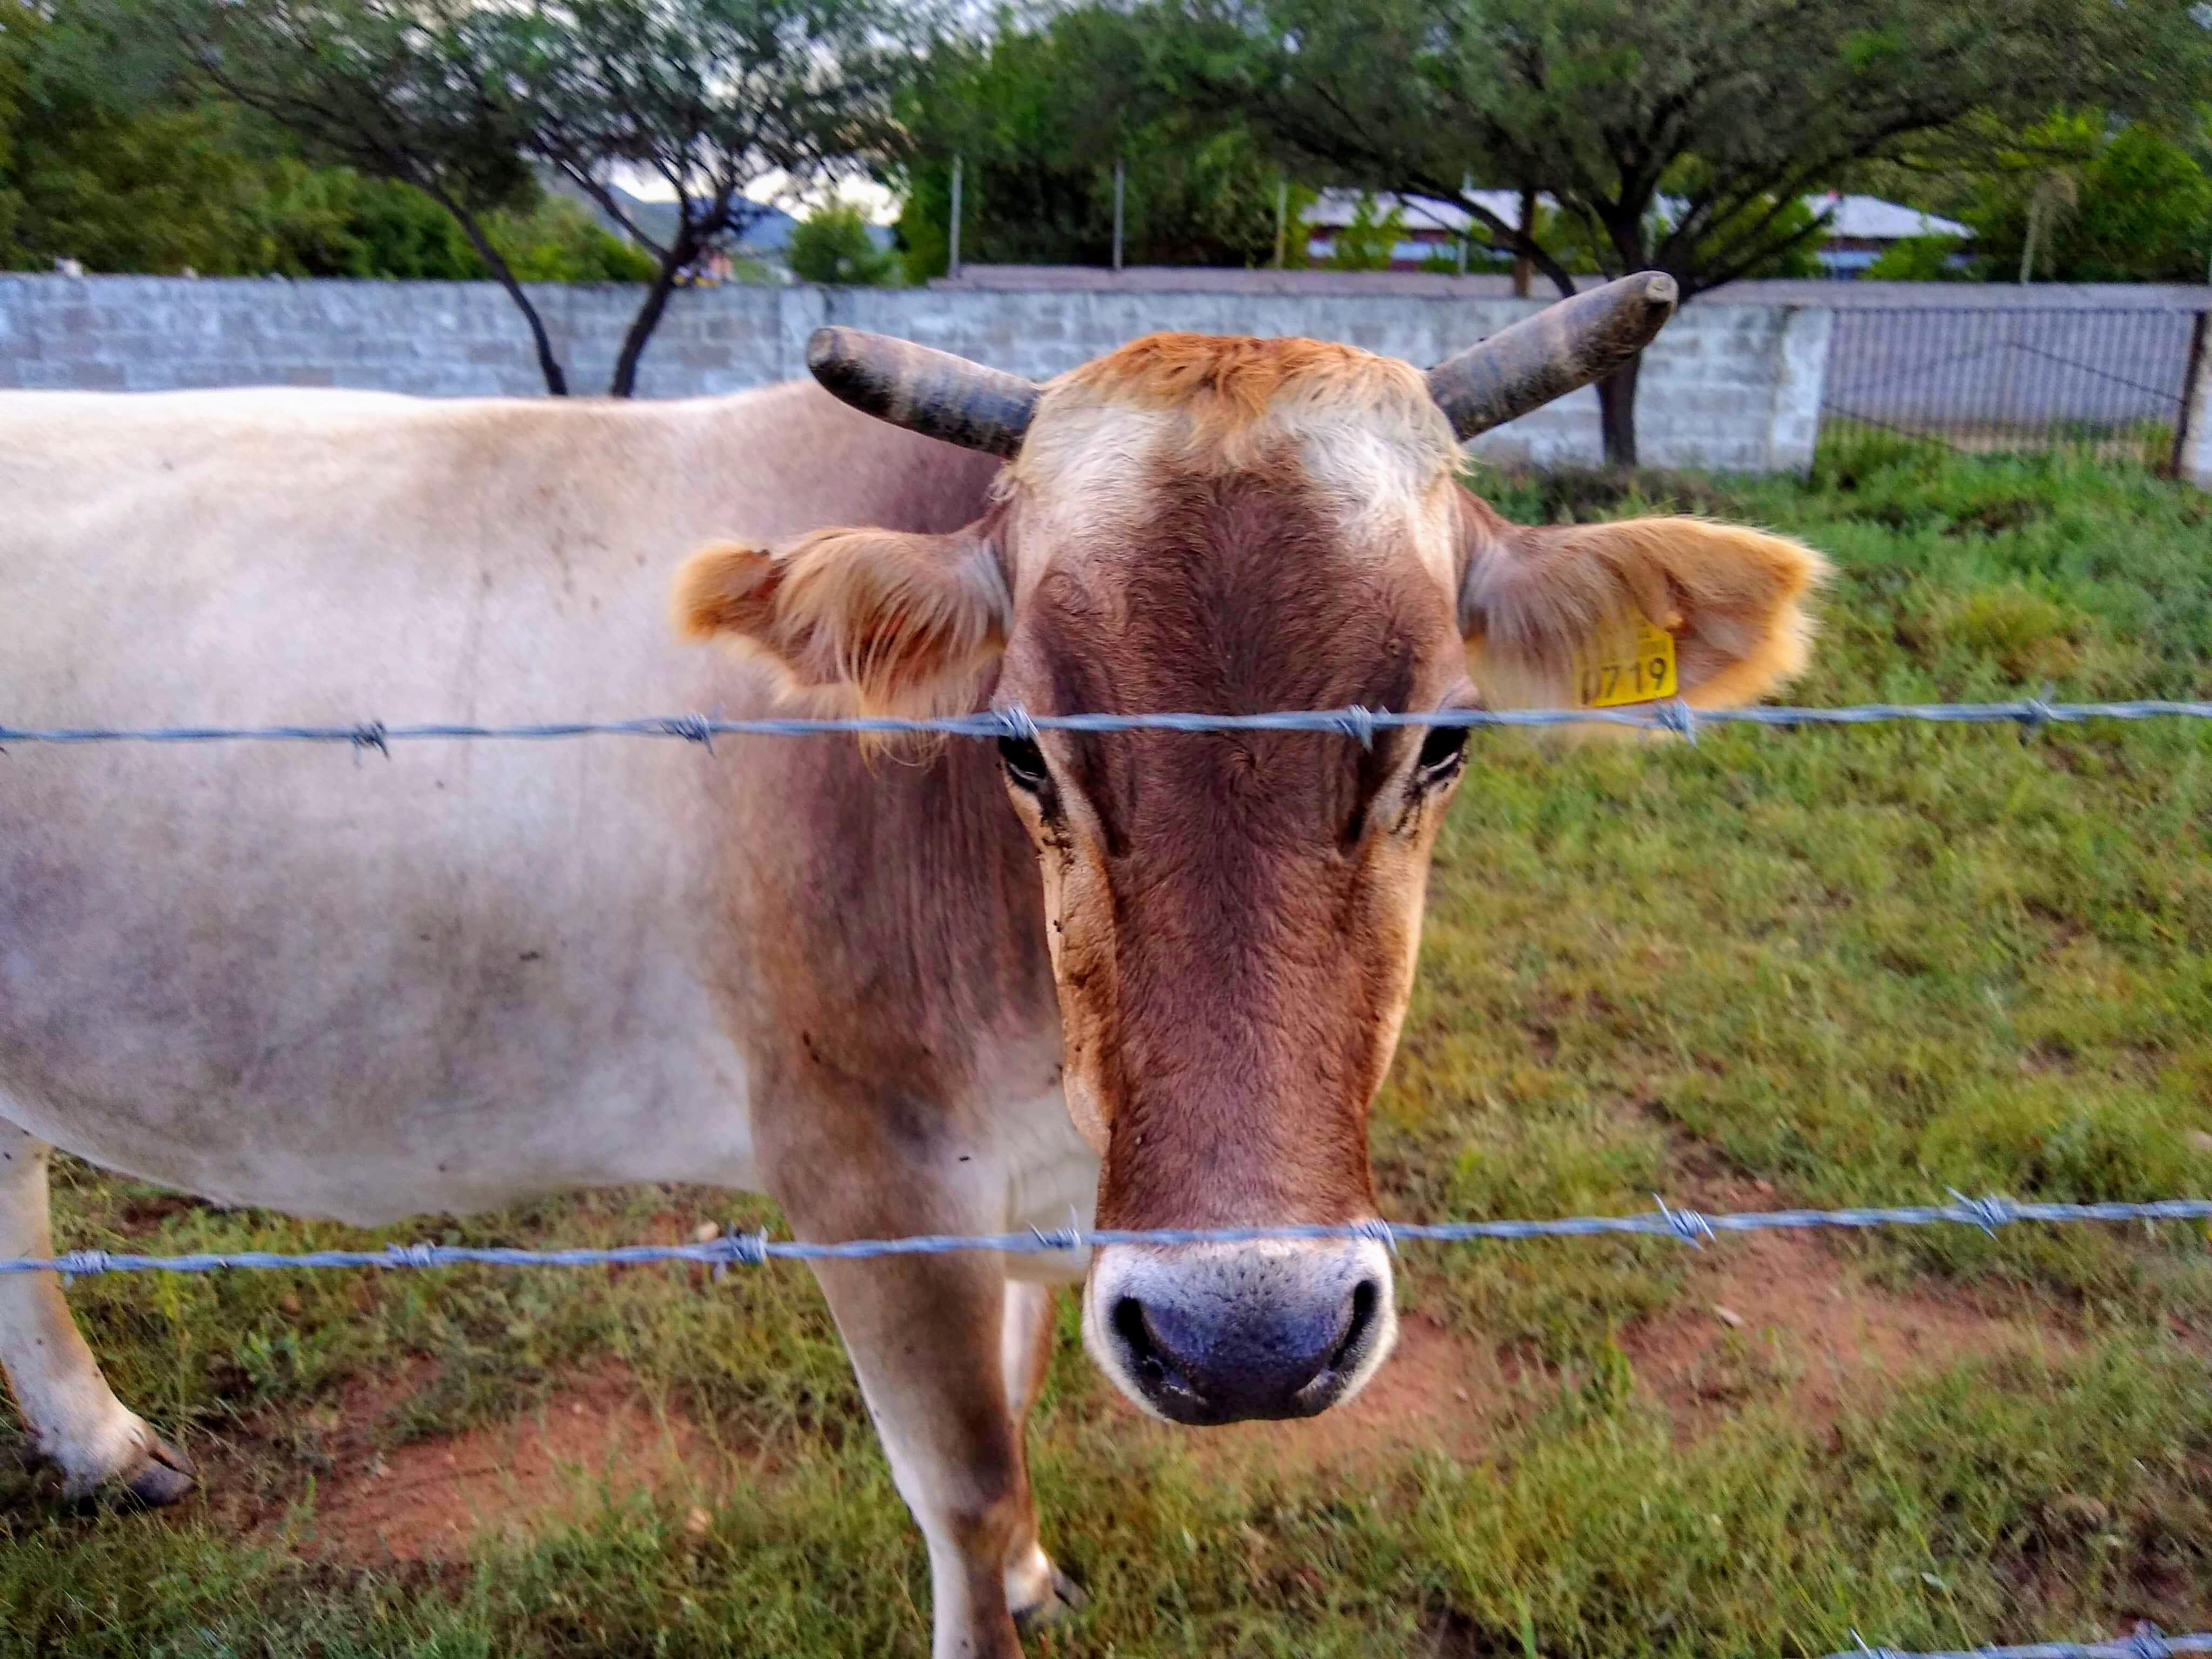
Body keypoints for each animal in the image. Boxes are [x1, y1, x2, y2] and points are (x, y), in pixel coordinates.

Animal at [0, 275, 1823, 1656]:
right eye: (1020, 745)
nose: (1252, 1337)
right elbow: (969, 1477)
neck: (1048, 1083)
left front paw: (1038, 1575)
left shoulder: (1035, 1199)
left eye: (1445, 738)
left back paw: (101, 1446)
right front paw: (1001, 1573)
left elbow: (1018, 1414)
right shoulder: (858, 1165)